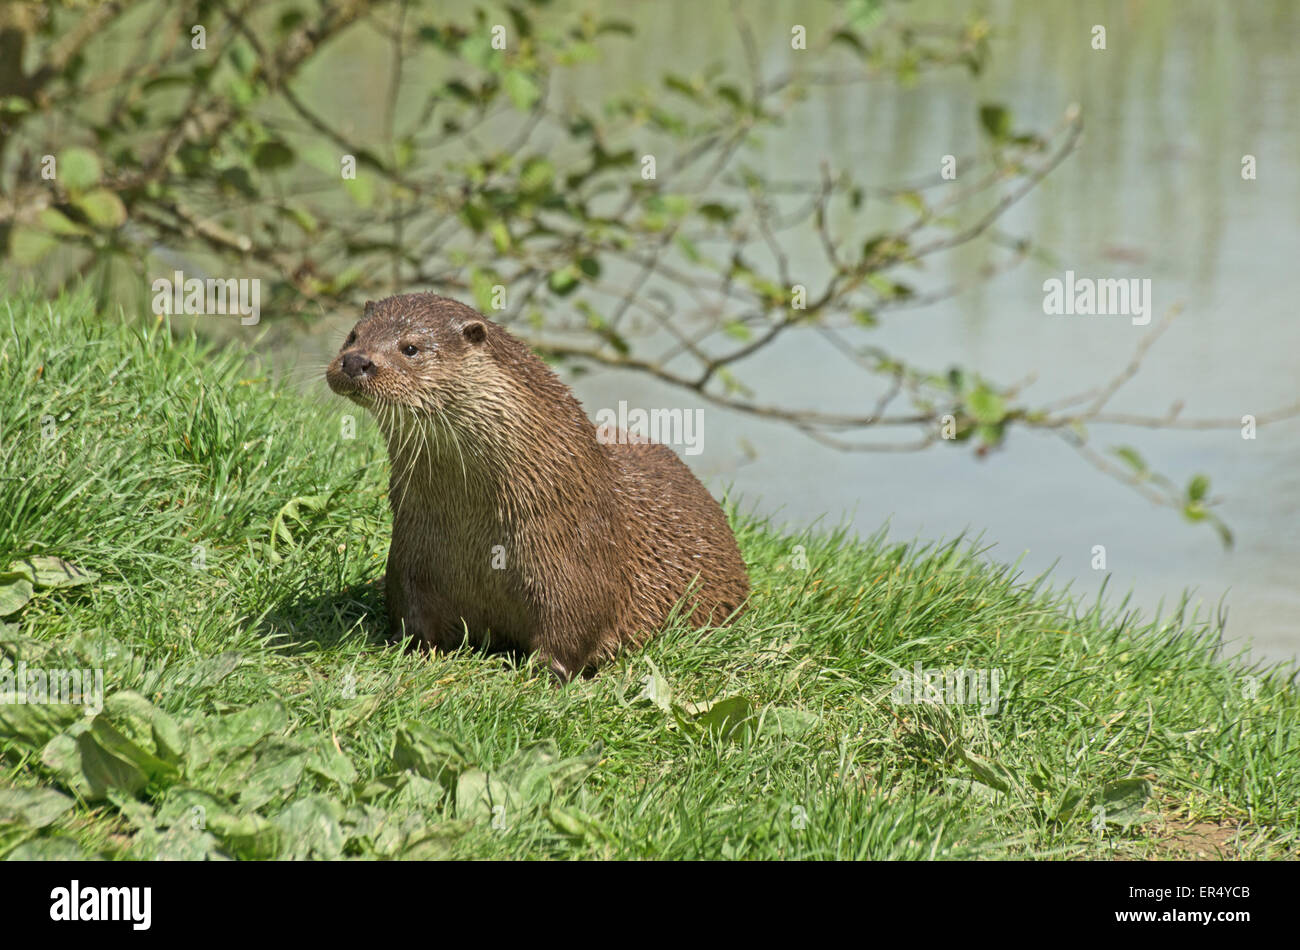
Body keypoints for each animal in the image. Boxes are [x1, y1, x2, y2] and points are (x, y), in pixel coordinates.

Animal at [325, 293, 749, 681]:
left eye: (410, 348)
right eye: (353, 334)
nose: (356, 360)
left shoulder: (574, 563)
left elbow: (571, 630)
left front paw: (543, 673)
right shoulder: (412, 556)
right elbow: (410, 614)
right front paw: (412, 651)